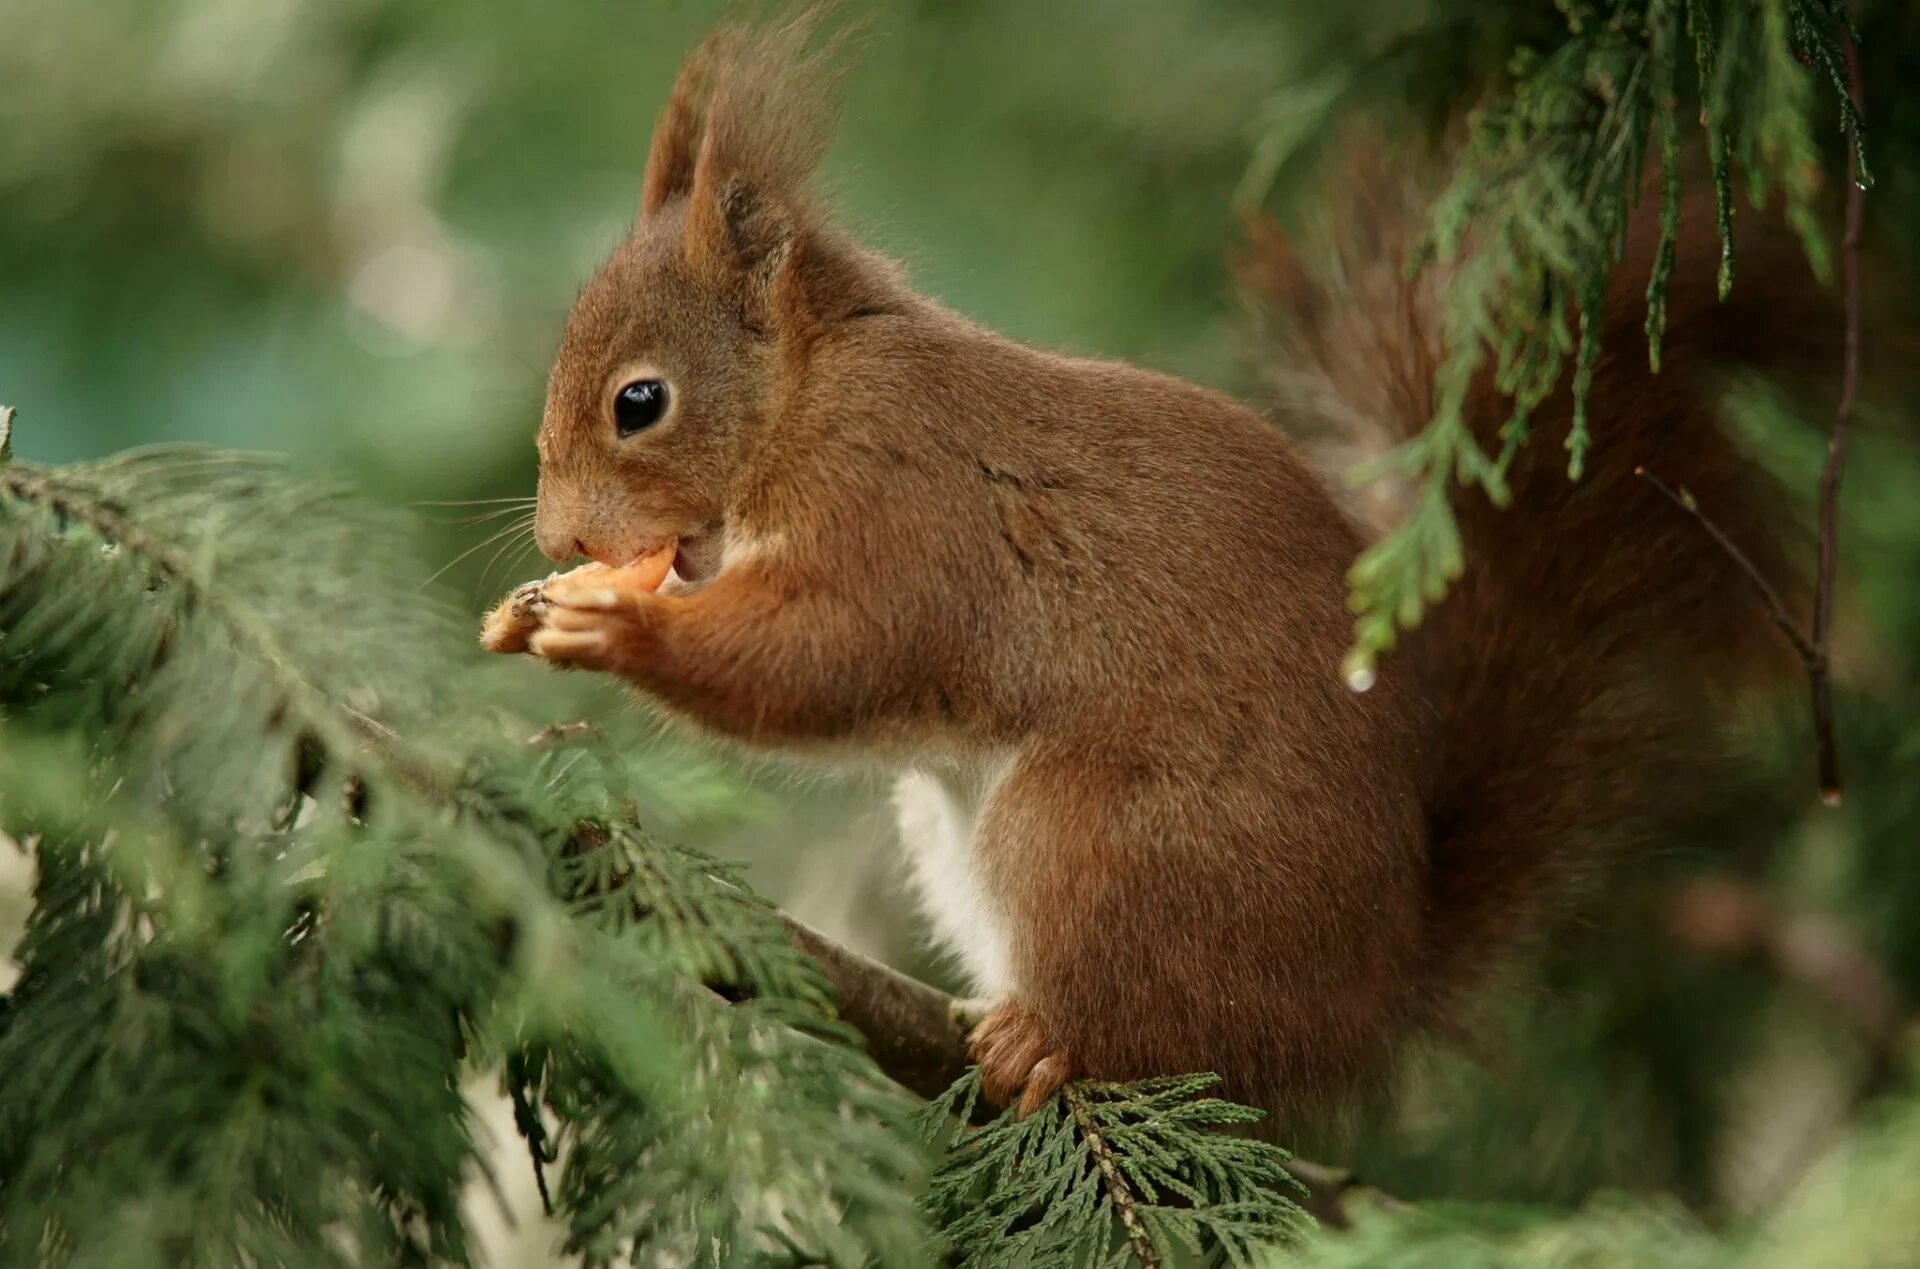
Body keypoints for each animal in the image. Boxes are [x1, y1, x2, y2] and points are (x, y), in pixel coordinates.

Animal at [480, 19, 1812, 1121]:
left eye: (639, 403)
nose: (559, 541)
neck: (809, 395)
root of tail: (1374, 989)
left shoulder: (903, 508)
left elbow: (829, 656)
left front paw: (612, 631)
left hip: (1095, 841)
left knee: (1166, 1030)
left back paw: (1047, 1040)